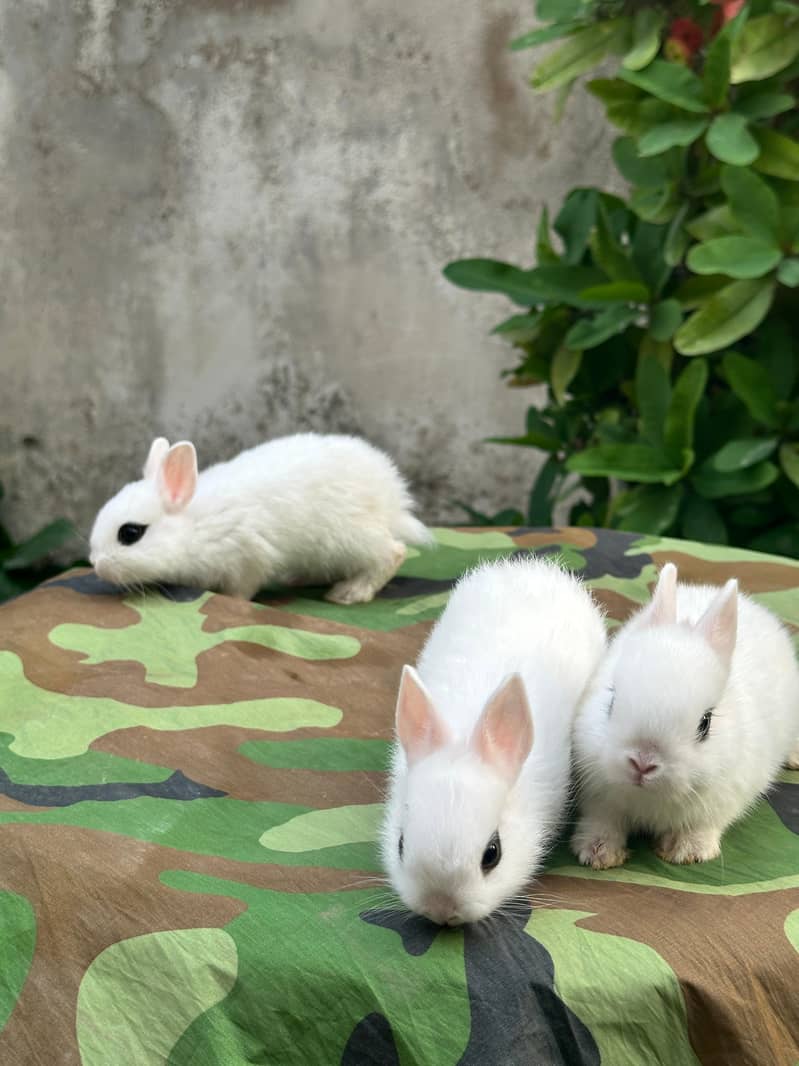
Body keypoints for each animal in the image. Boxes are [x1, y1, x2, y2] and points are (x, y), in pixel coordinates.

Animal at [89, 433, 431, 603]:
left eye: (130, 533)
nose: (97, 565)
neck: (195, 525)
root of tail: (391, 496)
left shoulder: (247, 557)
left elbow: (243, 589)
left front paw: (230, 599)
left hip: (349, 537)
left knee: (393, 552)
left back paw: (348, 594)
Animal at [571, 562, 799, 869]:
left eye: (705, 723)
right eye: (612, 700)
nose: (642, 763)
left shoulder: (725, 798)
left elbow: (703, 825)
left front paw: (687, 850)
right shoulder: (599, 796)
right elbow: (603, 820)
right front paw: (598, 852)